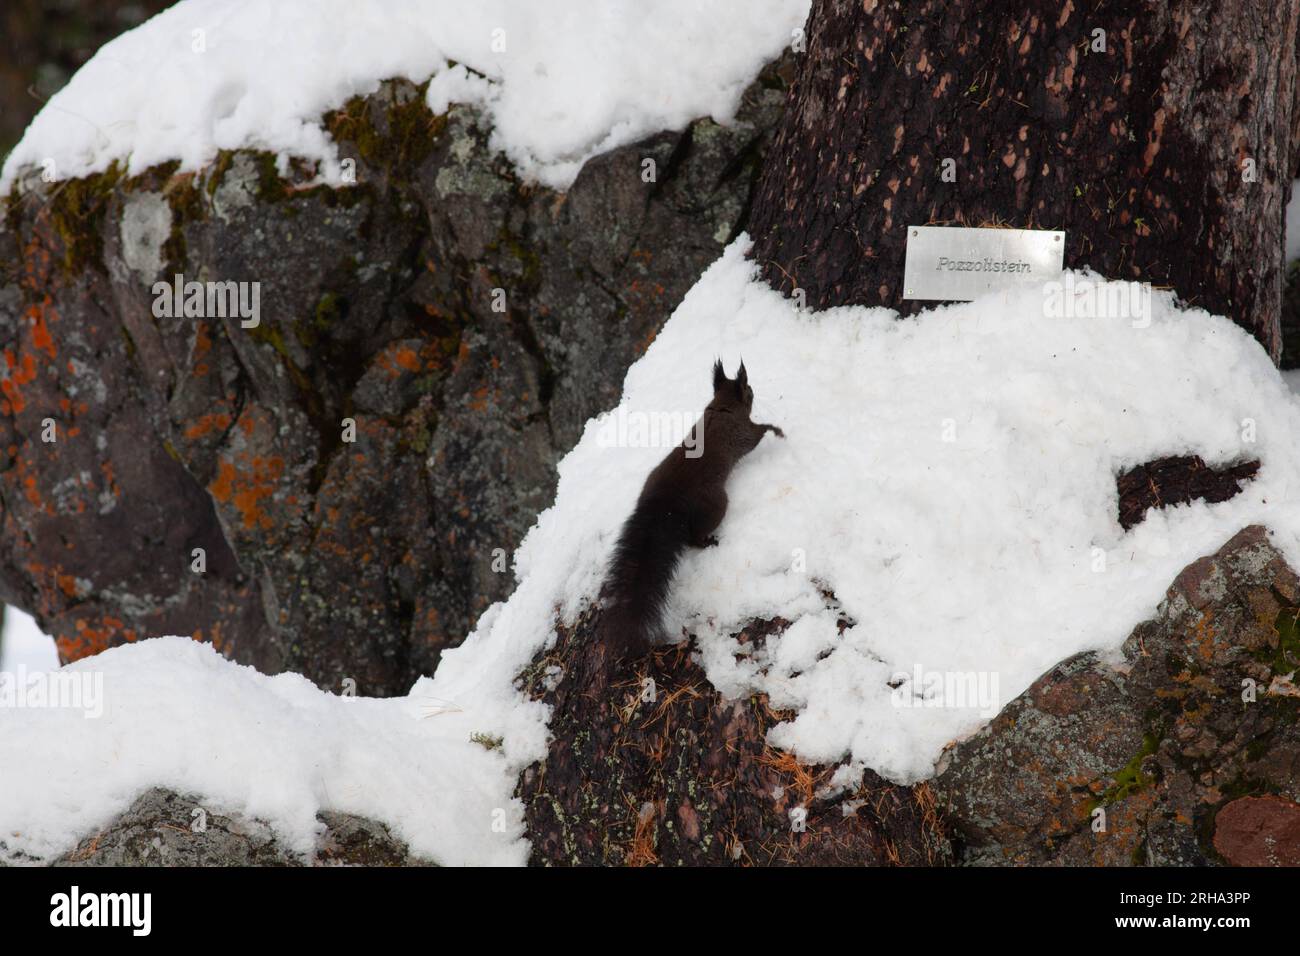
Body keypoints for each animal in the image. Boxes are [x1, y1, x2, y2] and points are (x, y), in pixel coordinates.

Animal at [595, 360, 784, 666]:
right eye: (748, 389)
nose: (754, 391)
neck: (721, 406)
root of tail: (665, 501)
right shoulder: (742, 433)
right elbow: (756, 434)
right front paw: (775, 429)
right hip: (716, 504)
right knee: (694, 537)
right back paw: (709, 542)